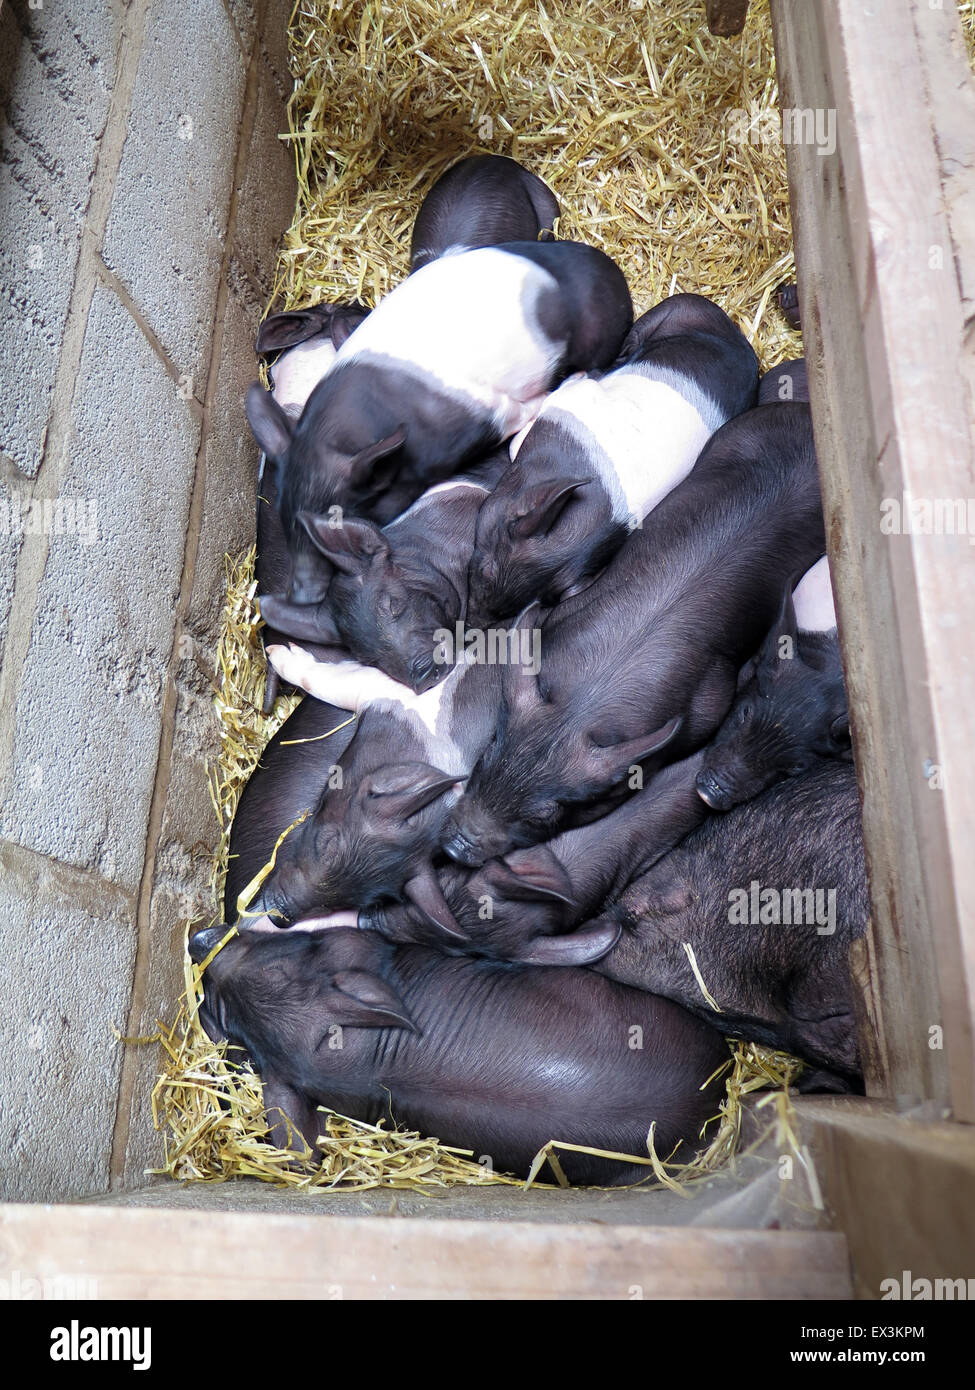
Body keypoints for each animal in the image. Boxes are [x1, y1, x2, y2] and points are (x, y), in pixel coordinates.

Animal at [466, 293, 758, 623]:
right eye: (484, 571)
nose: (474, 622)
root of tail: (740, 337)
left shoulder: (570, 400)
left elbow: (519, 439)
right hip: (678, 308)